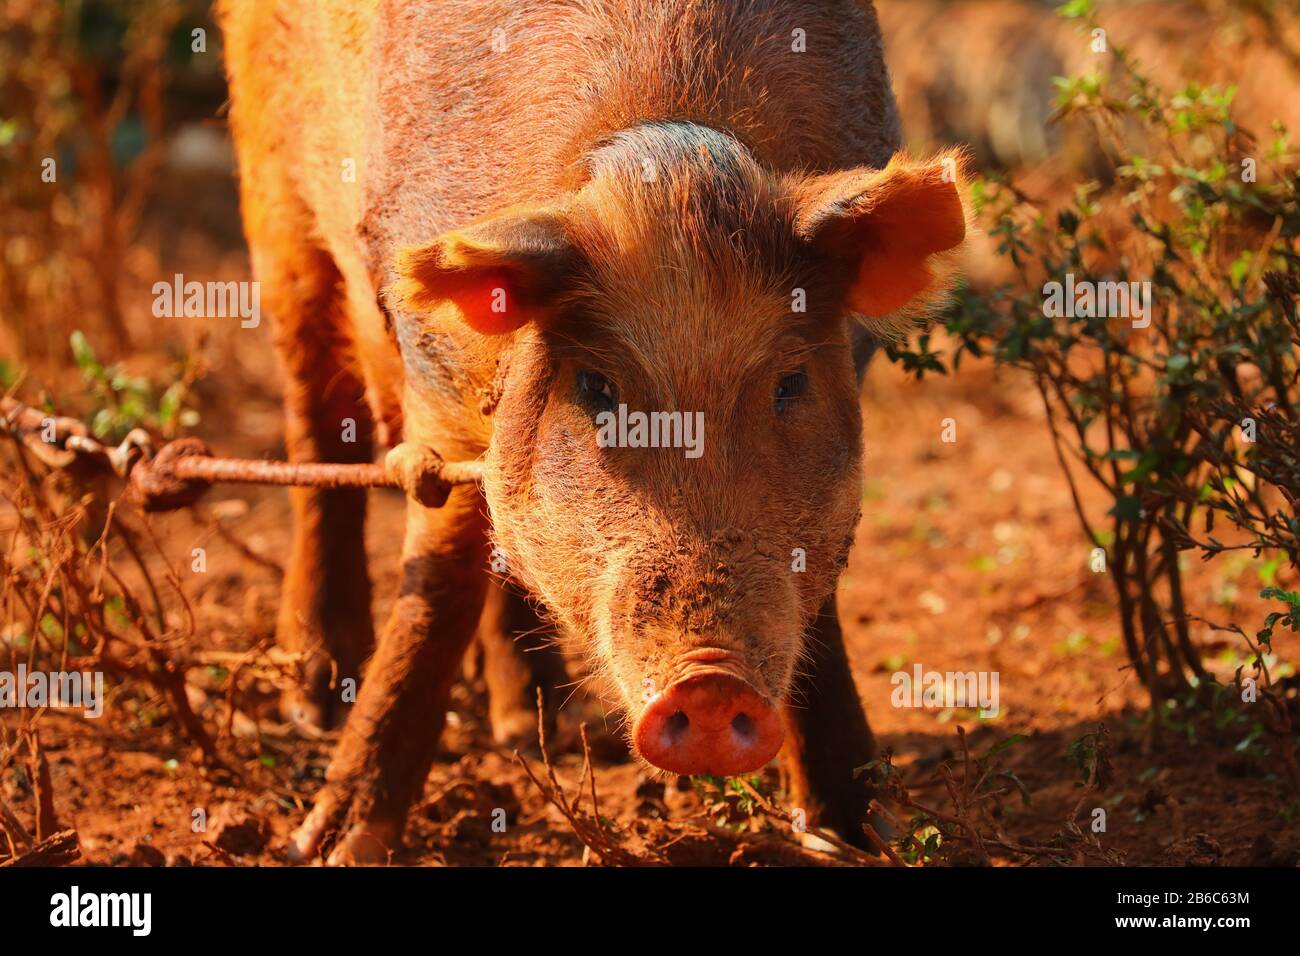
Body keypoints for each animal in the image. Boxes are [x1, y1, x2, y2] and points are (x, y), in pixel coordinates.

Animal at [218, 0, 967, 863]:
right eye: (597, 389)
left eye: (790, 384)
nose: (711, 682)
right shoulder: (432, 382)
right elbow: (436, 586)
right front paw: (328, 846)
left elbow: (825, 599)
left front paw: (867, 834)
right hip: (272, 192)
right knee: (318, 425)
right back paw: (315, 700)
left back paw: (532, 721)